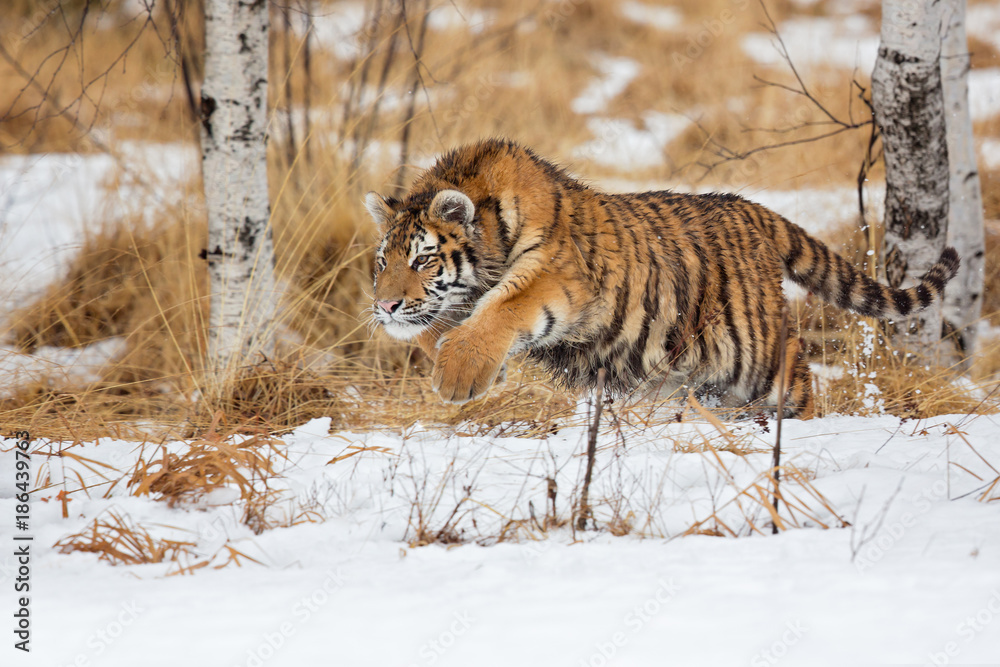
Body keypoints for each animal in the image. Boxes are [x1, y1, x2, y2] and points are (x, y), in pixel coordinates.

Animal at [365, 138, 960, 418]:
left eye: (422, 260)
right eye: (383, 263)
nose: (386, 306)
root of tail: (755, 210)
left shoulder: (558, 276)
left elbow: (506, 305)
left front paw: (457, 376)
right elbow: (438, 326)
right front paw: (456, 356)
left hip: (760, 357)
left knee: (802, 382)